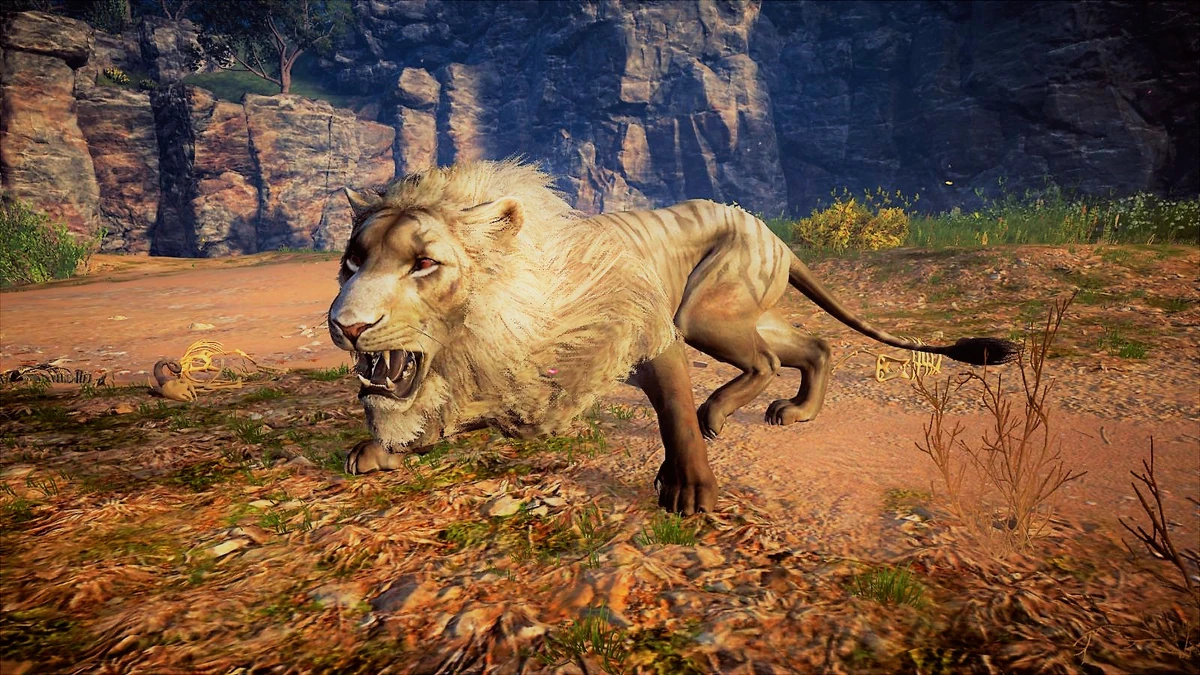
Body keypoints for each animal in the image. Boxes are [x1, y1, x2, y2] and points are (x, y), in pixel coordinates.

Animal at [329, 160, 1018, 515]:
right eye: (353, 261)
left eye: (424, 263)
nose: (346, 326)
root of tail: (772, 232)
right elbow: (421, 412)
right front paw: (380, 450)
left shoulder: (645, 327)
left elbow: (674, 413)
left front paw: (688, 487)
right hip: (744, 312)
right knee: (812, 346)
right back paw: (796, 413)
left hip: (704, 312)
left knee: (764, 362)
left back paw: (719, 413)